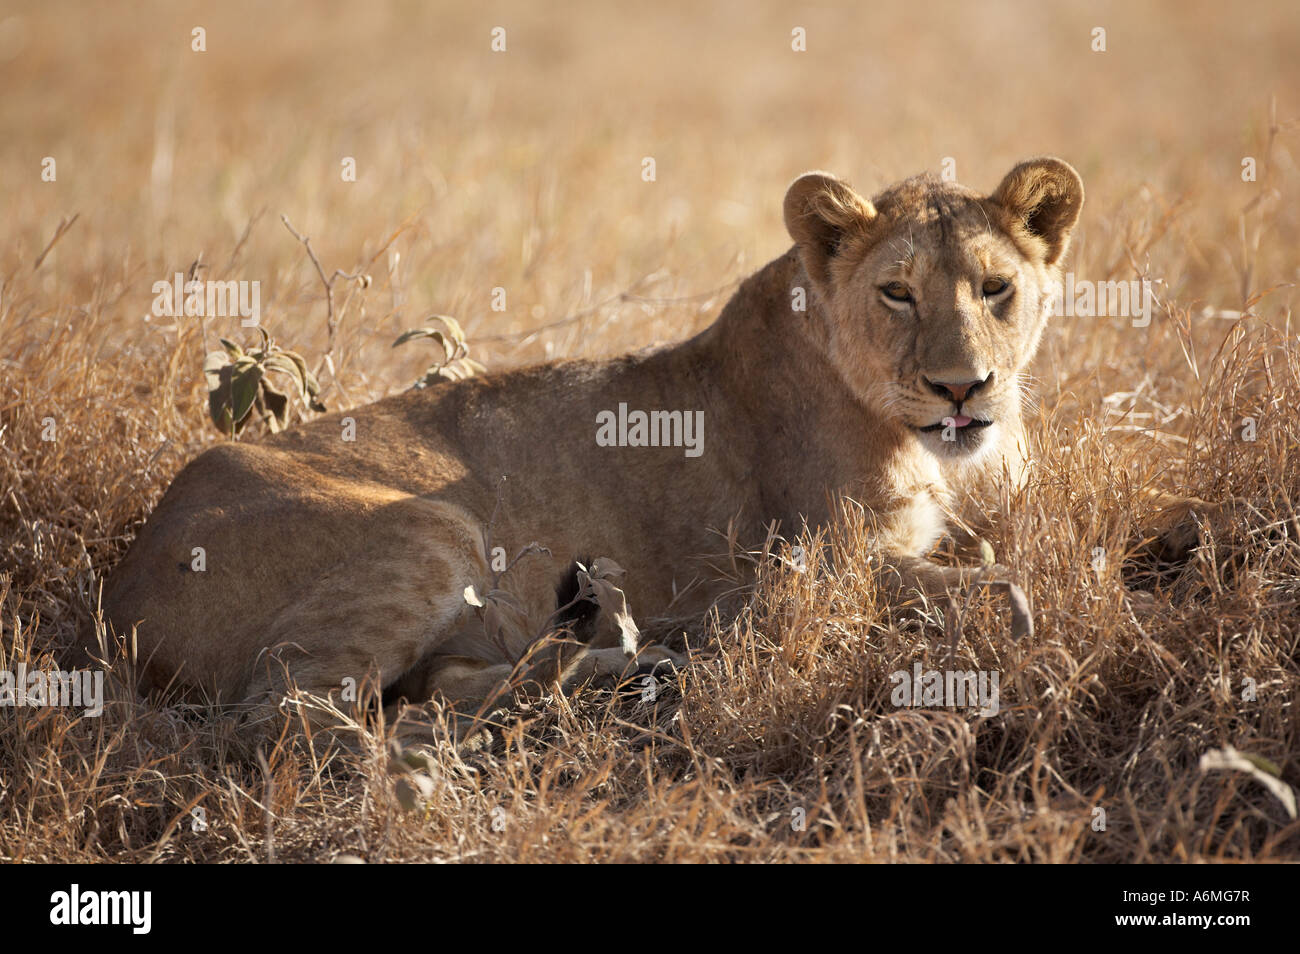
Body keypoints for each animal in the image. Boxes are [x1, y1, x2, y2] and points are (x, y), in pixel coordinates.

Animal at [95, 158, 1085, 746]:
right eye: (897, 293)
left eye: (995, 287)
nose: (962, 388)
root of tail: (125, 584)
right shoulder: (809, 573)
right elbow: (995, 579)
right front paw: (1022, 627)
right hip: (432, 528)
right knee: (291, 717)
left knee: (445, 679)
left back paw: (635, 671)